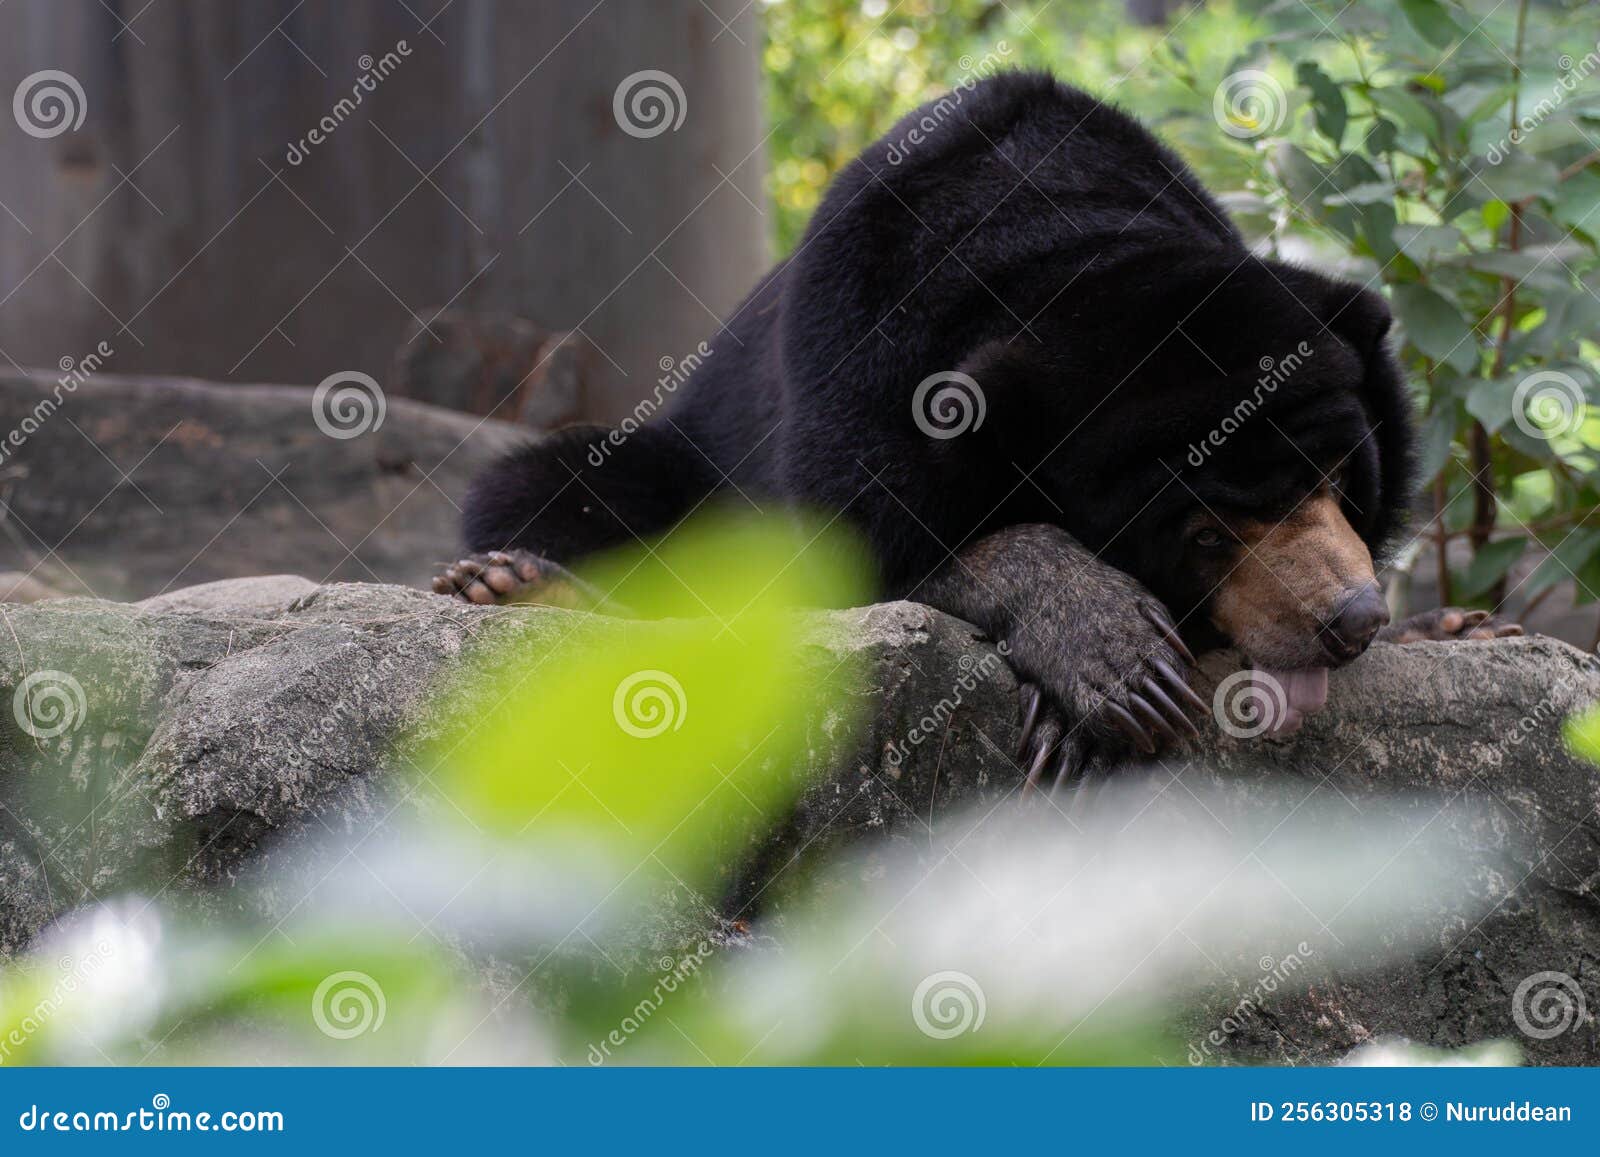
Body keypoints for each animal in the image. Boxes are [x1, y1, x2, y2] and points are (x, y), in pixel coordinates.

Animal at [437, 70, 1519, 789]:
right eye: (1206, 531)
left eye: (1340, 475)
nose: (1351, 619)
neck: (1053, 249)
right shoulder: (858, 366)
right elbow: (869, 548)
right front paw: (1112, 666)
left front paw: (1444, 620)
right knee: (557, 484)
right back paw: (512, 582)